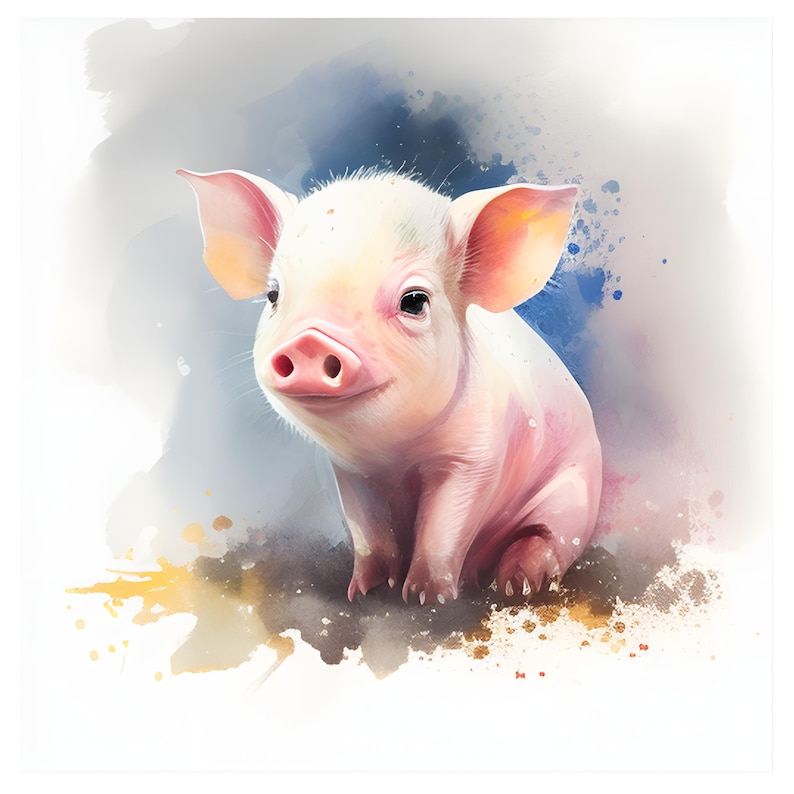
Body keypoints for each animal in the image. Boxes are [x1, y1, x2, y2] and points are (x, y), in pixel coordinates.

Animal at [179, 168, 602, 605]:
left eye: (414, 301)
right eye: (273, 294)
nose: (310, 341)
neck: (392, 455)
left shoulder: (476, 459)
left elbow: (443, 528)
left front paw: (427, 599)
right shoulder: (349, 472)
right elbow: (368, 533)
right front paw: (366, 593)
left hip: (575, 496)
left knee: (547, 538)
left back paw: (515, 587)